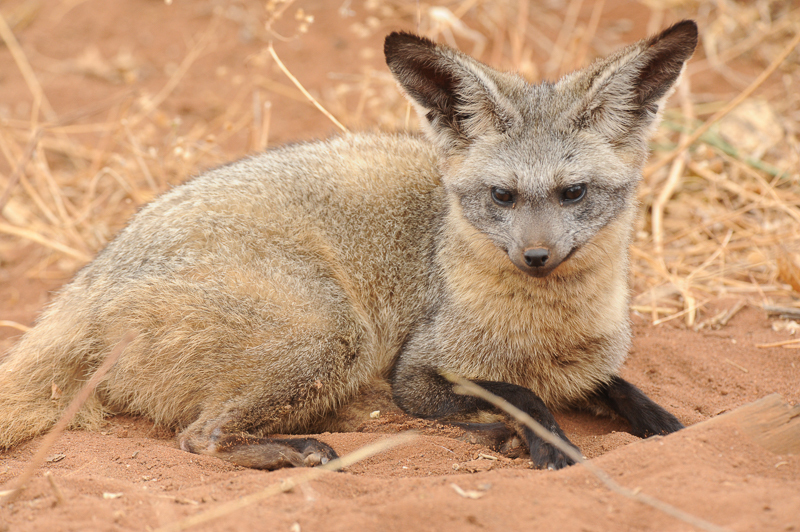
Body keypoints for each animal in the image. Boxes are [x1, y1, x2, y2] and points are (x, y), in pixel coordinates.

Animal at [0, 21, 698, 470]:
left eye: (573, 193)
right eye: (502, 196)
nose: (535, 258)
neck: (544, 327)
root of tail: (88, 280)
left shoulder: (585, 360)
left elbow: (615, 384)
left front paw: (661, 422)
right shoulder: (417, 373)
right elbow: (520, 397)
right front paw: (548, 443)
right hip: (336, 336)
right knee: (200, 437)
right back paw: (305, 450)